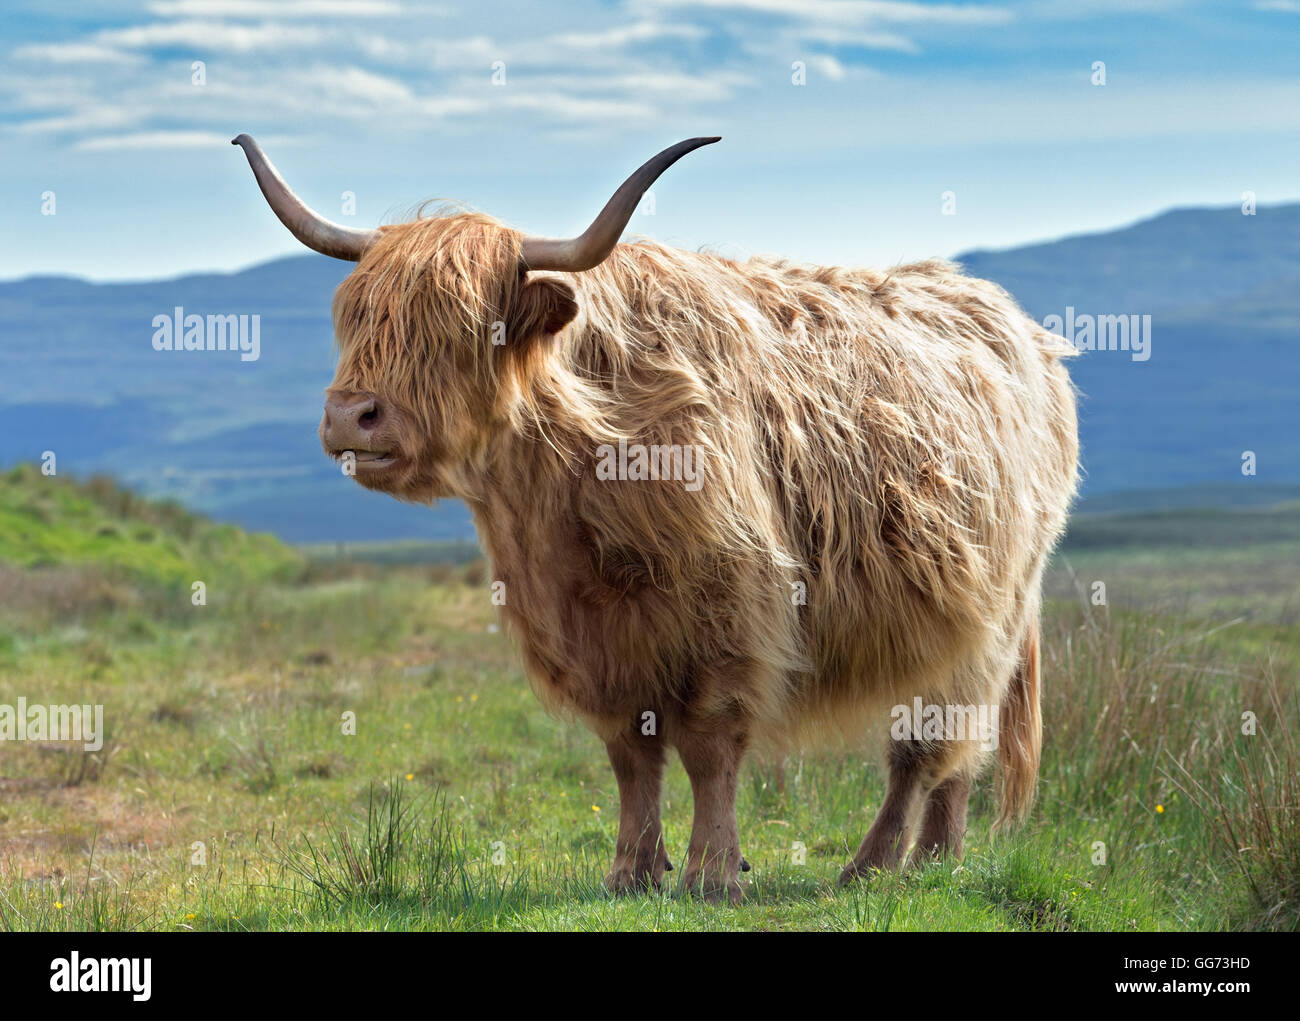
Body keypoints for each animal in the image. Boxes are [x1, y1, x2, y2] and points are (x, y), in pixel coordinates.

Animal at [233, 134, 1079, 903]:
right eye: (354, 315)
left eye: (465, 325)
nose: (351, 415)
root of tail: (1022, 330)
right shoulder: (594, 637)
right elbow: (630, 754)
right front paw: (632, 870)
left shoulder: (731, 614)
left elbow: (709, 746)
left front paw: (712, 872)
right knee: (955, 754)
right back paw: (938, 859)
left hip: (985, 621)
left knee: (930, 746)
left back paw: (884, 863)